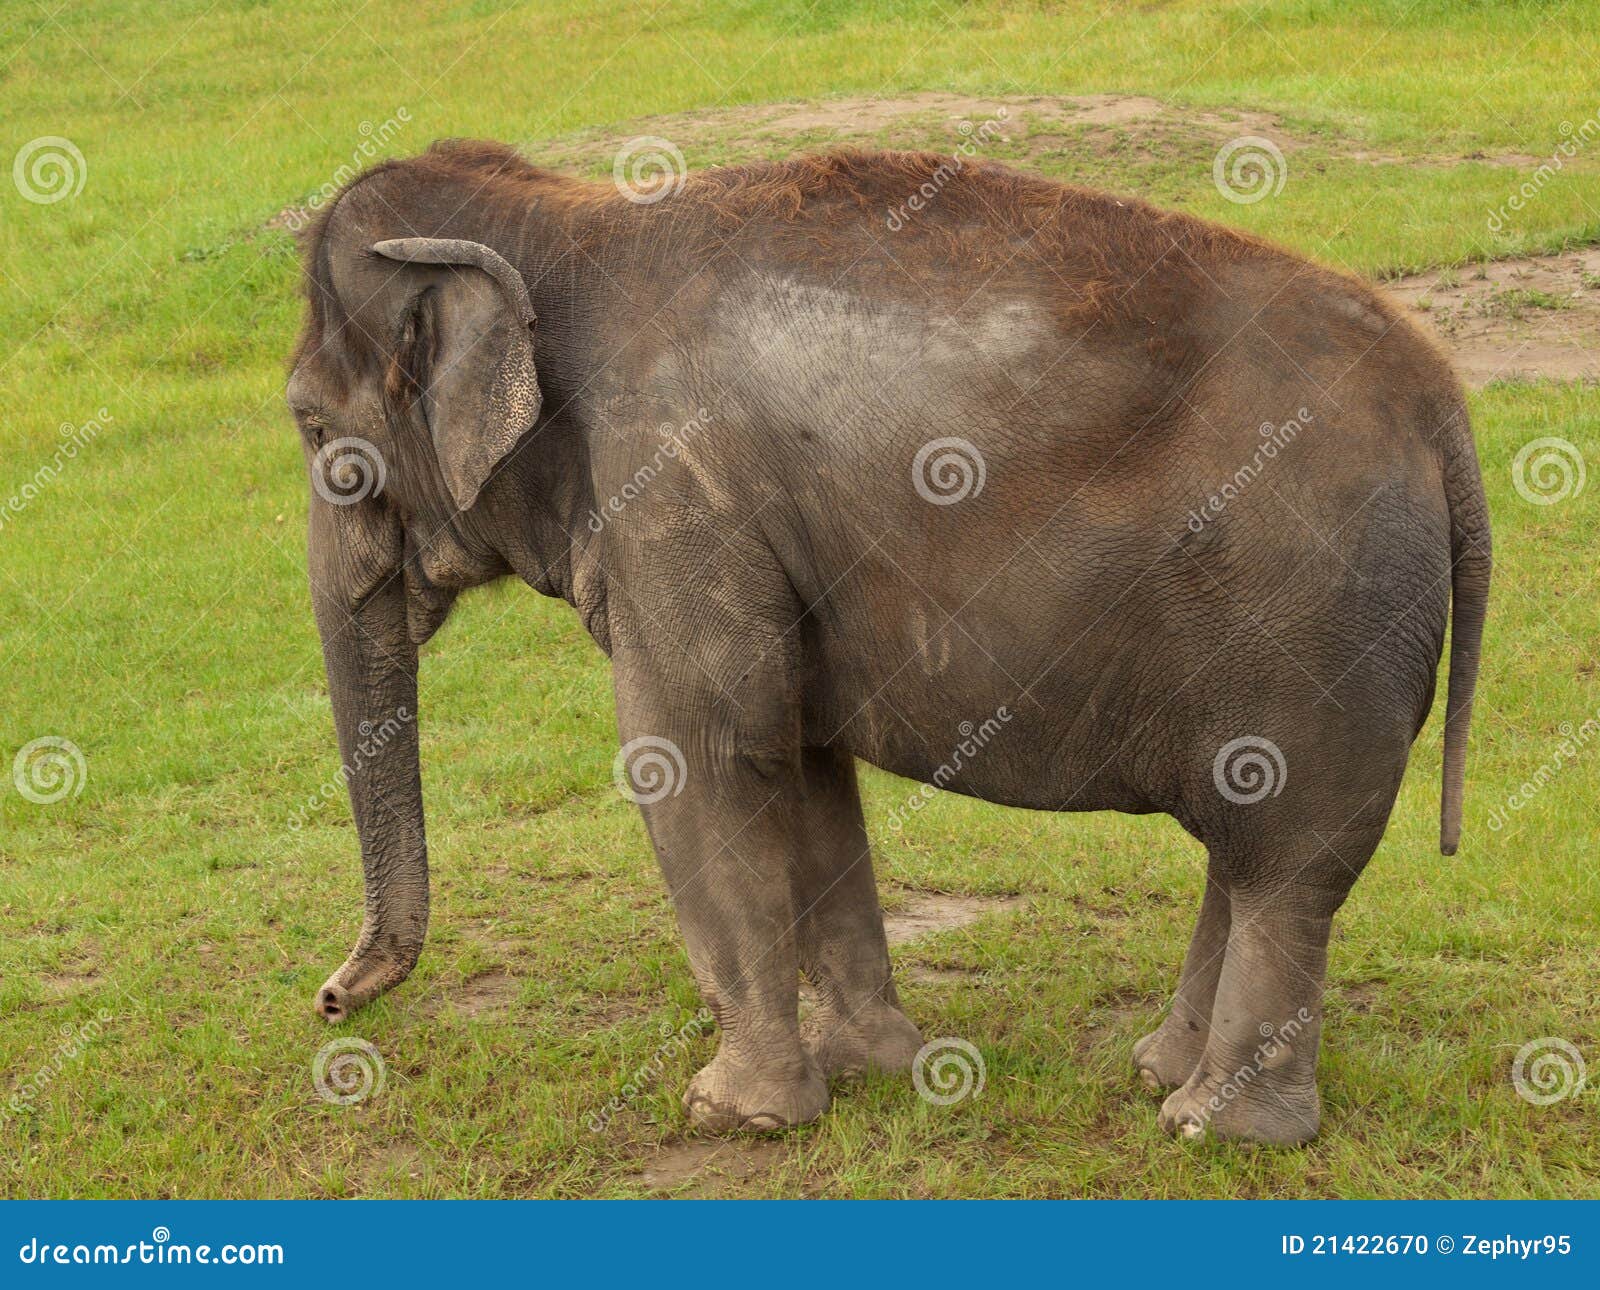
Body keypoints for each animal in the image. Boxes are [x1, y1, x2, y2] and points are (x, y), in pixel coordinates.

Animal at [285, 139, 1489, 1145]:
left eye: (310, 427)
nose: (333, 999)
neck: (557, 213)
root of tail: (1445, 409)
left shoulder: (673, 486)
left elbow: (697, 753)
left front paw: (734, 1115)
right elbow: (803, 760)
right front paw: (878, 1068)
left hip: (1315, 625)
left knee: (1287, 866)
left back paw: (1214, 1130)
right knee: (1240, 856)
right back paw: (1160, 1073)